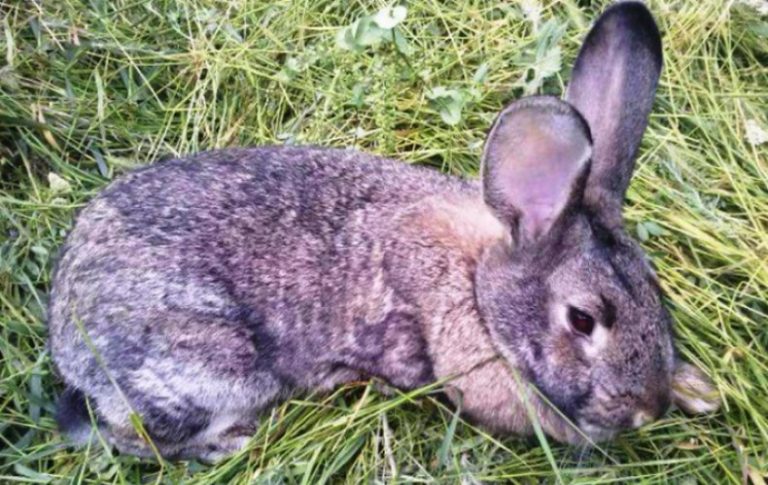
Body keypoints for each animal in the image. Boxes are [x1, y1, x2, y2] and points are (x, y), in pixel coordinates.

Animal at [48, 1, 720, 462]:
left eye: (656, 295)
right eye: (582, 320)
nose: (647, 407)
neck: (479, 292)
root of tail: (64, 334)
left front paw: (695, 388)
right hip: (211, 367)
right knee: (124, 432)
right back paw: (223, 443)